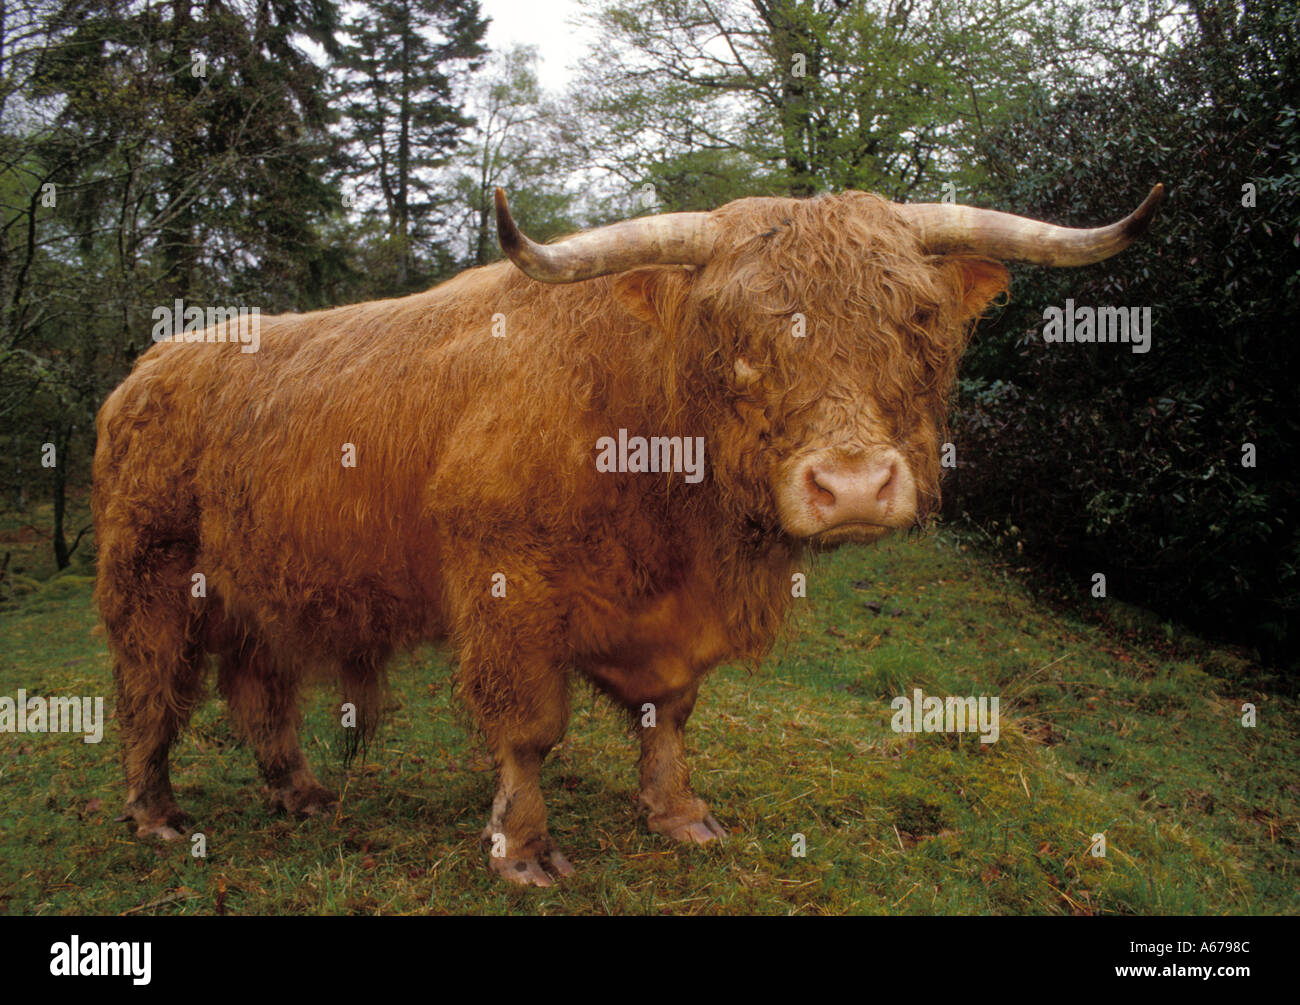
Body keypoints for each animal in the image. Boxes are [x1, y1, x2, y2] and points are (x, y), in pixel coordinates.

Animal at [93, 183, 1163, 885]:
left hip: (258, 582)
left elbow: (671, 717)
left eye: (918, 321)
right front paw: (523, 848)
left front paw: (679, 813)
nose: (854, 485)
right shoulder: (507, 590)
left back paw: (300, 791)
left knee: (257, 687)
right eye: (735, 335)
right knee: (152, 689)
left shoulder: (669, 626)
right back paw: (155, 814)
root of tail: (148, 365)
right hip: (150, 573)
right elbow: (531, 728)